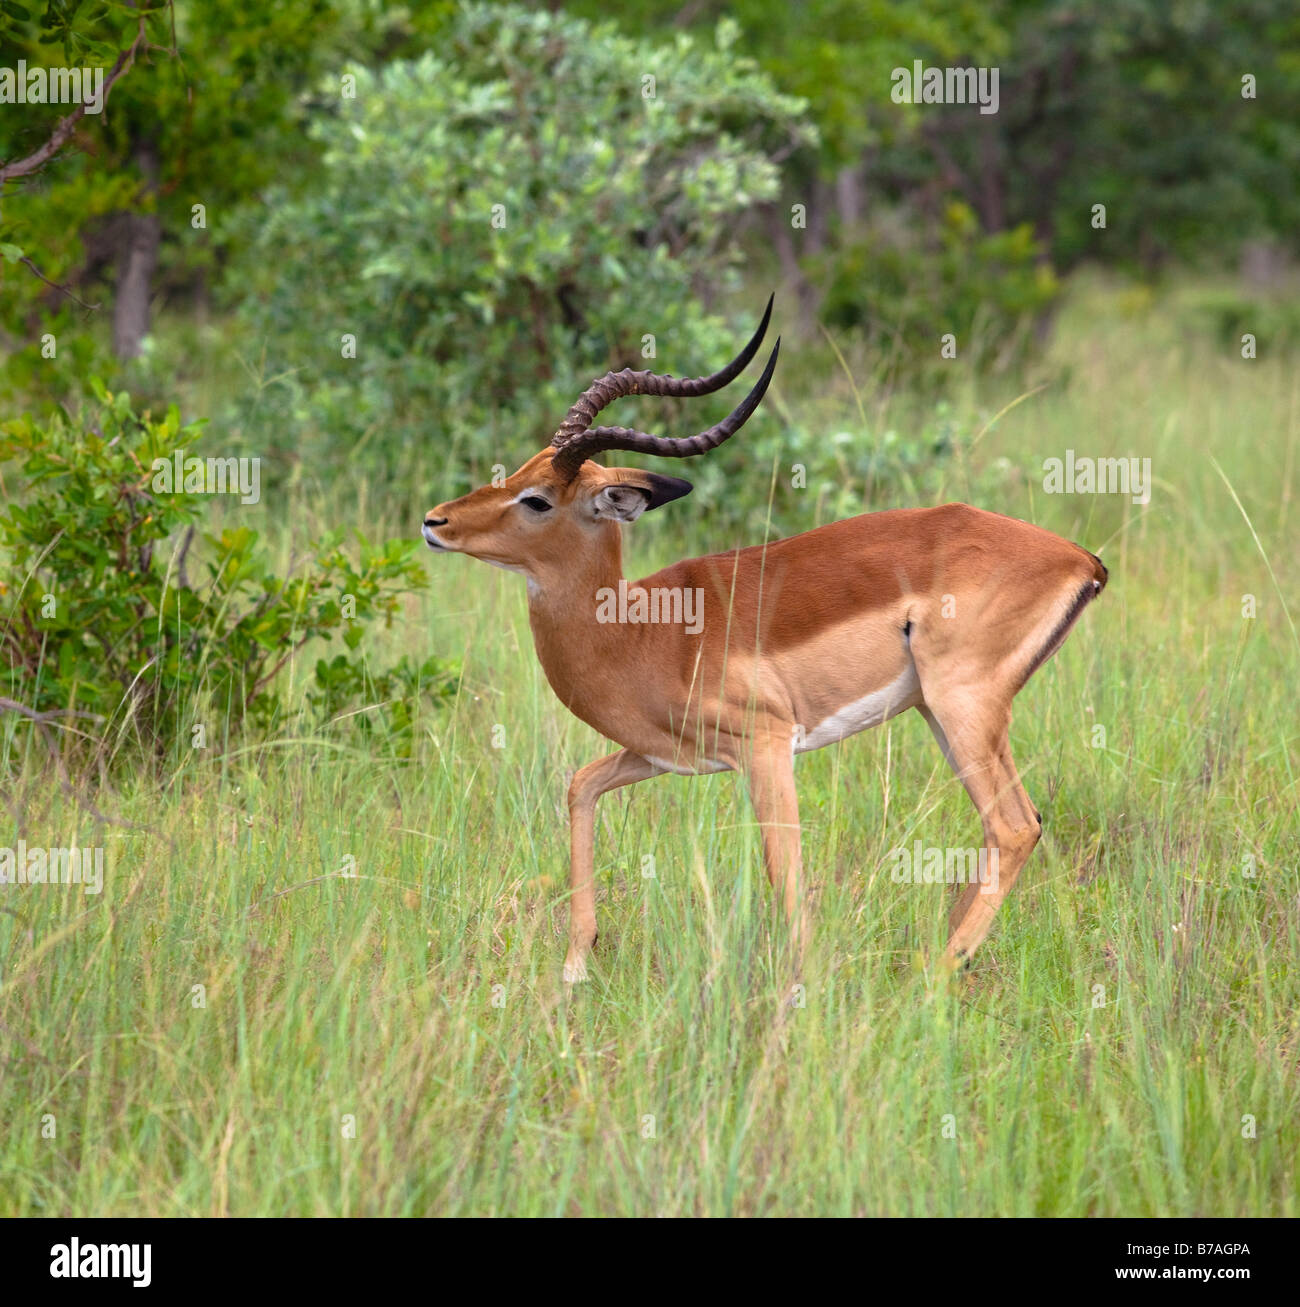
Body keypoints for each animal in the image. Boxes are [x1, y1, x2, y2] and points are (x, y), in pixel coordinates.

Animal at [423, 299, 1107, 981]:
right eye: (519, 470)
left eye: (537, 499)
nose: (435, 522)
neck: (638, 628)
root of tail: (1083, 559)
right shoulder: (663, 753)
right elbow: (580, 784)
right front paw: (573, 968)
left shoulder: (768, 744)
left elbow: (785, 870)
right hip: (943, 713)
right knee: (1011, 826)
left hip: (961, 704)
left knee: (1014, 827)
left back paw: (934, 976)